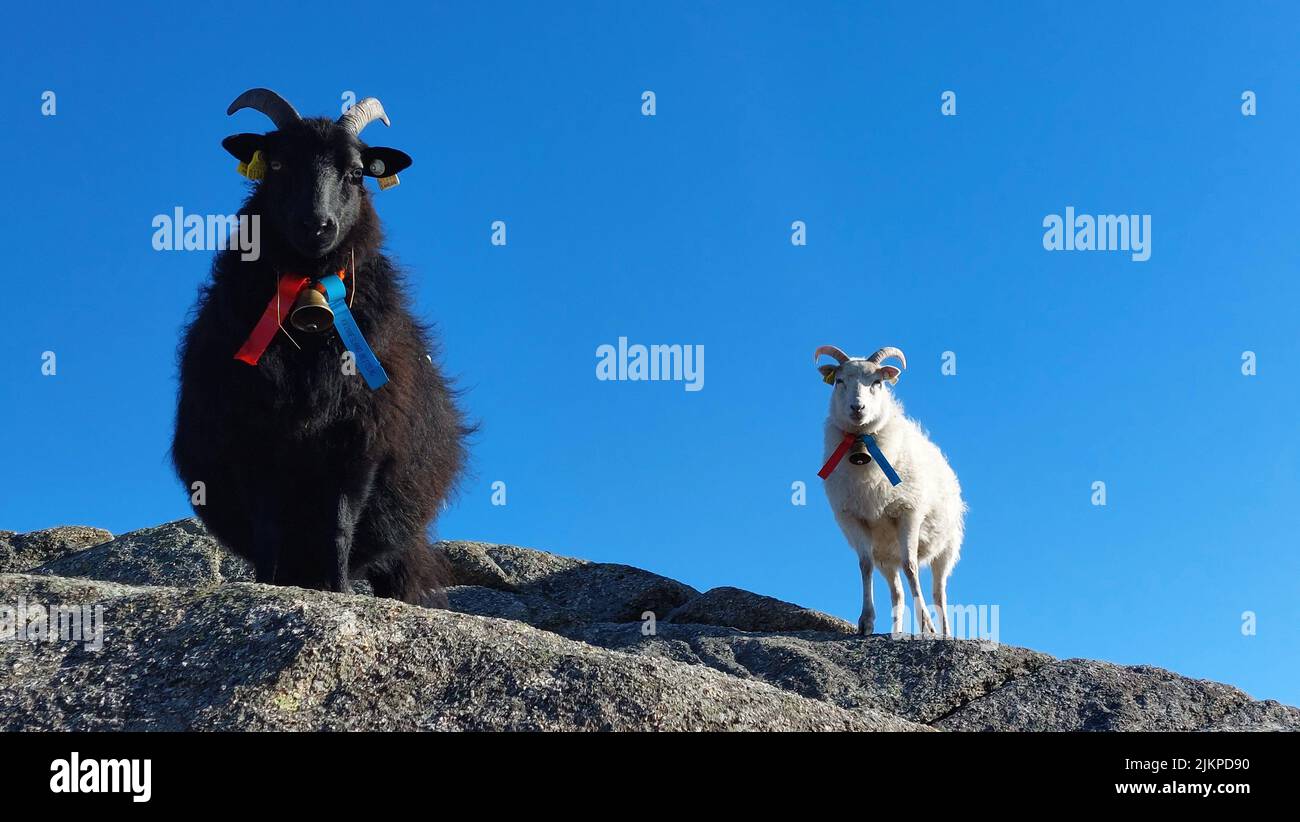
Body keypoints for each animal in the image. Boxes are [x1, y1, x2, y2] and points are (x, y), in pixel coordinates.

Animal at [172, 89, 469, 604]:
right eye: (276, 165)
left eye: (356, 172)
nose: (317, 226)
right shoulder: (252, 437)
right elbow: (267, 526)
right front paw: (266, 586)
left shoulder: (361, 439)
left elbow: (341, 525)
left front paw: (340, 589)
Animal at [815, 345, 965, 636]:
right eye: (839, 381)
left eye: (878, 382)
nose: (857, 408)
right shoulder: (855, 519)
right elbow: (864, 566)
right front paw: (866, 621)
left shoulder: (909, 512)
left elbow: (911, 567)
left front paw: (926, 625)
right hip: (886, 557)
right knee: (897, 594)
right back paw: (896, 631)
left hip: (947, 546)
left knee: (939, 593)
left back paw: (944, 633)